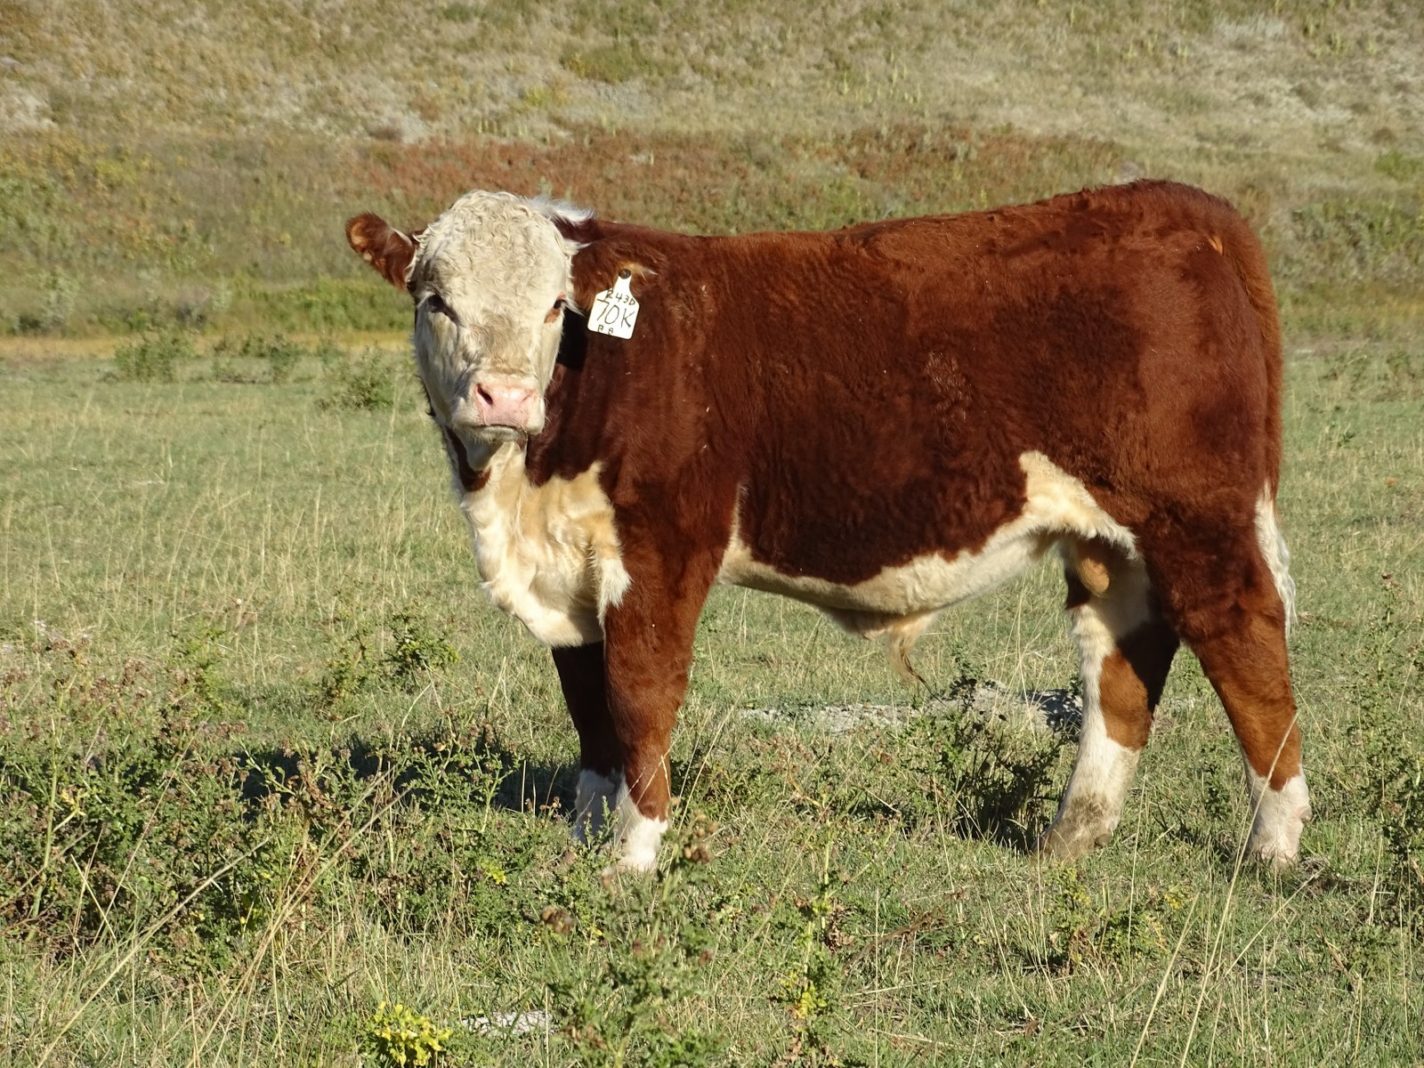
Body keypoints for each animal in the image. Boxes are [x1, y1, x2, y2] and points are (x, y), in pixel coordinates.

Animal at [346, 180, 1308, 873]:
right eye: (435, 302)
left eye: (554, 306)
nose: (503, 397)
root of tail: (1190, 209)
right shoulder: (568, 570)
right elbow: (589, 708)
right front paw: (586, 841)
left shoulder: (661, 549)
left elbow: (641, 694)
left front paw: (636, 854)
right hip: (1113, 537)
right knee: (1124, 653)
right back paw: (1070, 837)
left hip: (1198, 515)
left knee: (1245, 638)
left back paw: (1274, 844)